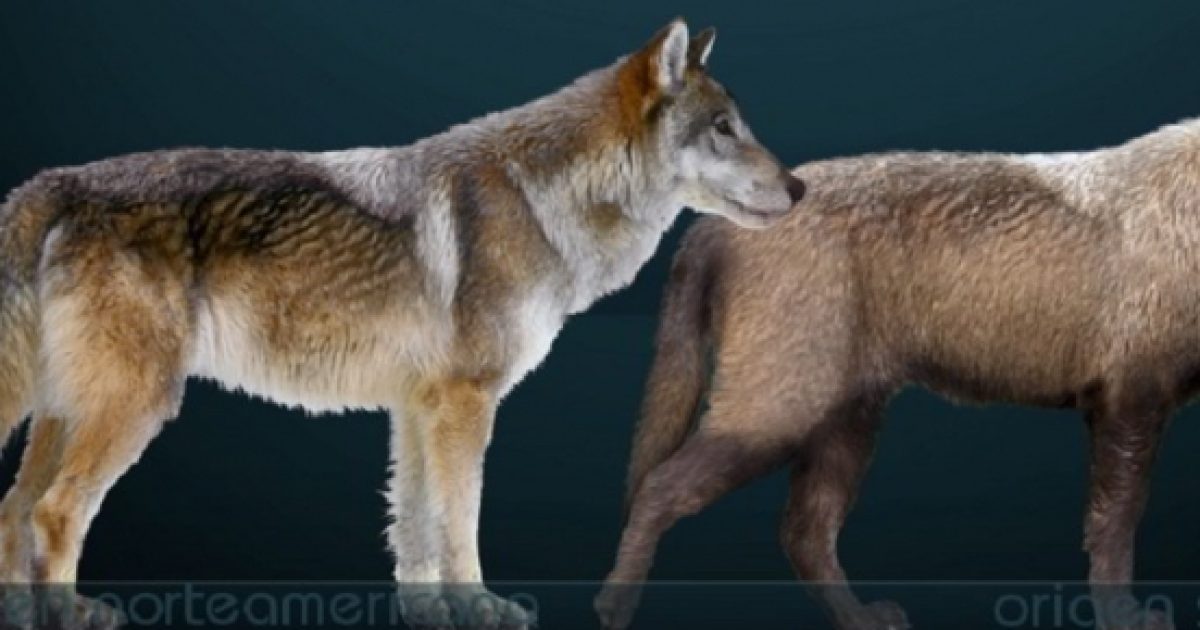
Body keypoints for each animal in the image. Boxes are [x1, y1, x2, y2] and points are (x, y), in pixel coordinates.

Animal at [0, 19, 804, 629]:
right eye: (724, 129)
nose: (798, 186)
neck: (545, 202)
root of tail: (53, 183)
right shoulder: (465, 403)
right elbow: (459, 523)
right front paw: (480, 609)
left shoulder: (417, 408)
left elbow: (415, 530)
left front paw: (430, 616)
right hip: (135, 406)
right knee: (54, 513)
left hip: (66, 411)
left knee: (13, 509)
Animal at [596, 119, 1200, 630]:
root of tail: (710, 227)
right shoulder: (1131, 403)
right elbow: (1114, 524)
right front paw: (1125, 619)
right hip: (774, 416)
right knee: (660, 488)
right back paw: (613, 607)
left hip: (847, 425)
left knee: (804, 533)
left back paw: (861, 618)